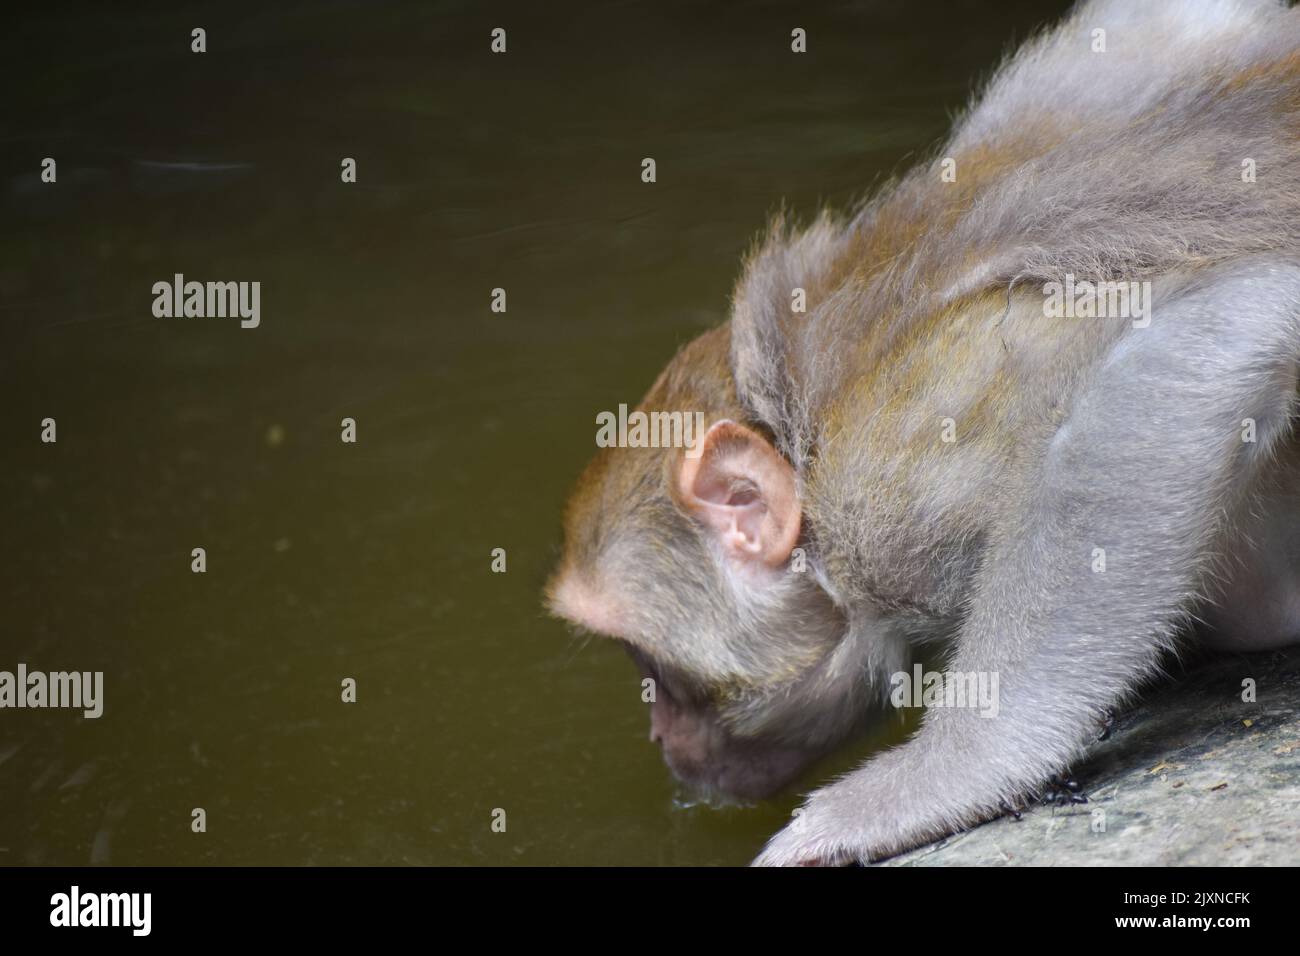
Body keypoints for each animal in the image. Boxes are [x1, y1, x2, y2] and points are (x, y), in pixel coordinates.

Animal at [546, 0, 1300, 865]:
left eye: (647, 660)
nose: (659, 734)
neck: (797, 427)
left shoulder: (886, 493)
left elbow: (1215, 333)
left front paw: (936, 777)